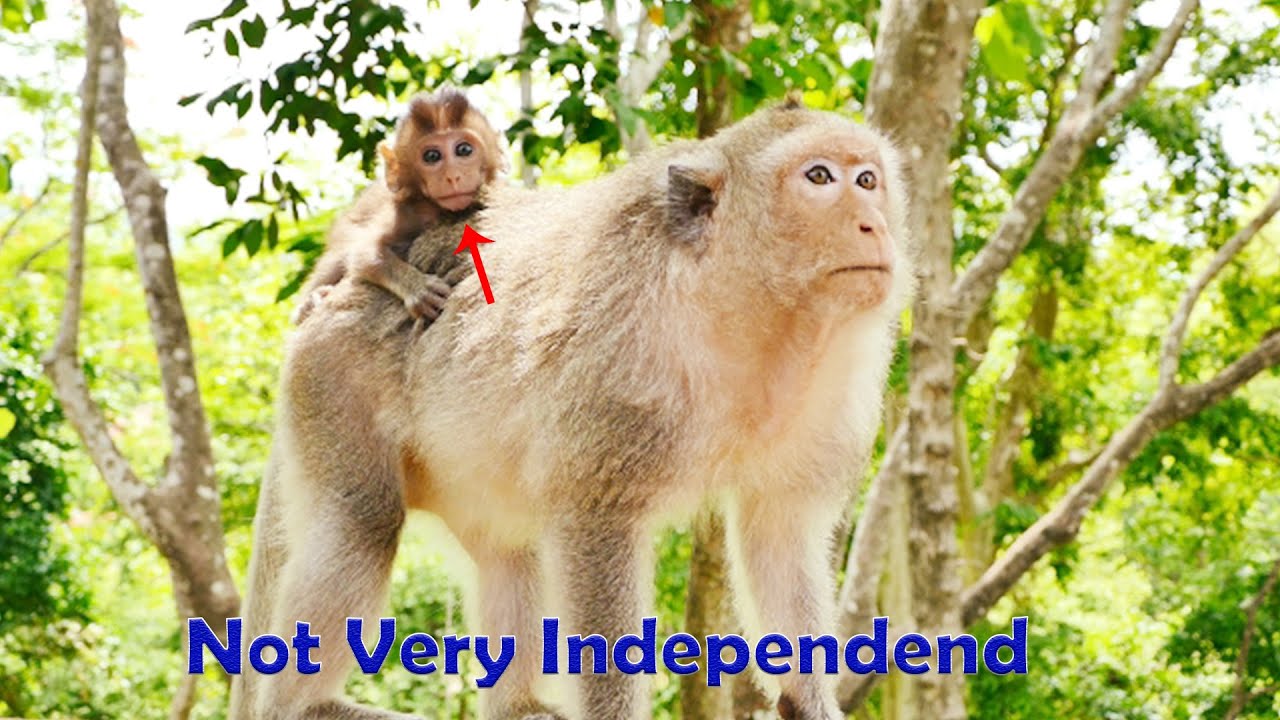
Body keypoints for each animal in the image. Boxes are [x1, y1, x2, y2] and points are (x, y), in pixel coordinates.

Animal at [291, 88, 507, 326]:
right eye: (432, 156)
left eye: (464, 150)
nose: (453, 176)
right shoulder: (408, 213)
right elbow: (364, 252)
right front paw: (418, 288)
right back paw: (308, 304)